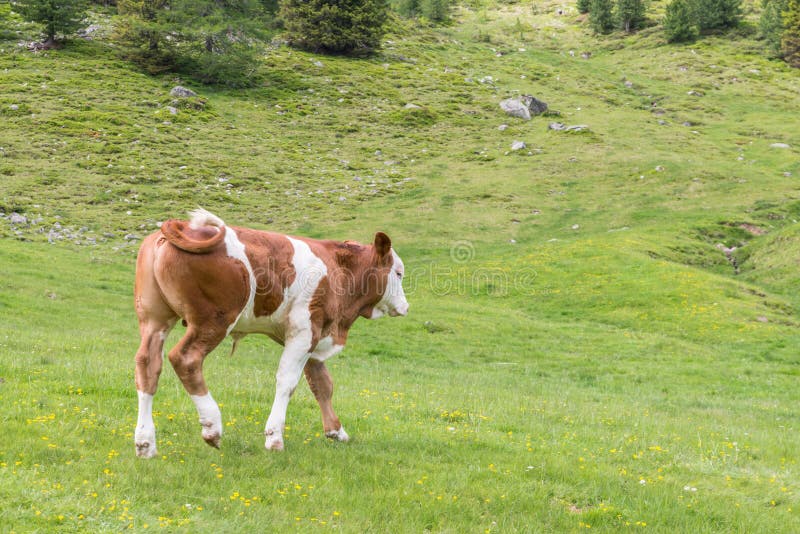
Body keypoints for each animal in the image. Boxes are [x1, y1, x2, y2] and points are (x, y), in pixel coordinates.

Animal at [133, 209, 409, 457]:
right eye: (398, 273)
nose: (405, 306)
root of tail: (179, 227)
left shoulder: (316, 333)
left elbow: (322, 384)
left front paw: (336, 431)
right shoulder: (304, 331)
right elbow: (288, 382)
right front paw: (274, 437)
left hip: (154, 319)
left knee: (148, 365)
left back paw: (145, 442)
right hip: (212, 320)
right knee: (186, 359)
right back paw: (212, 427)